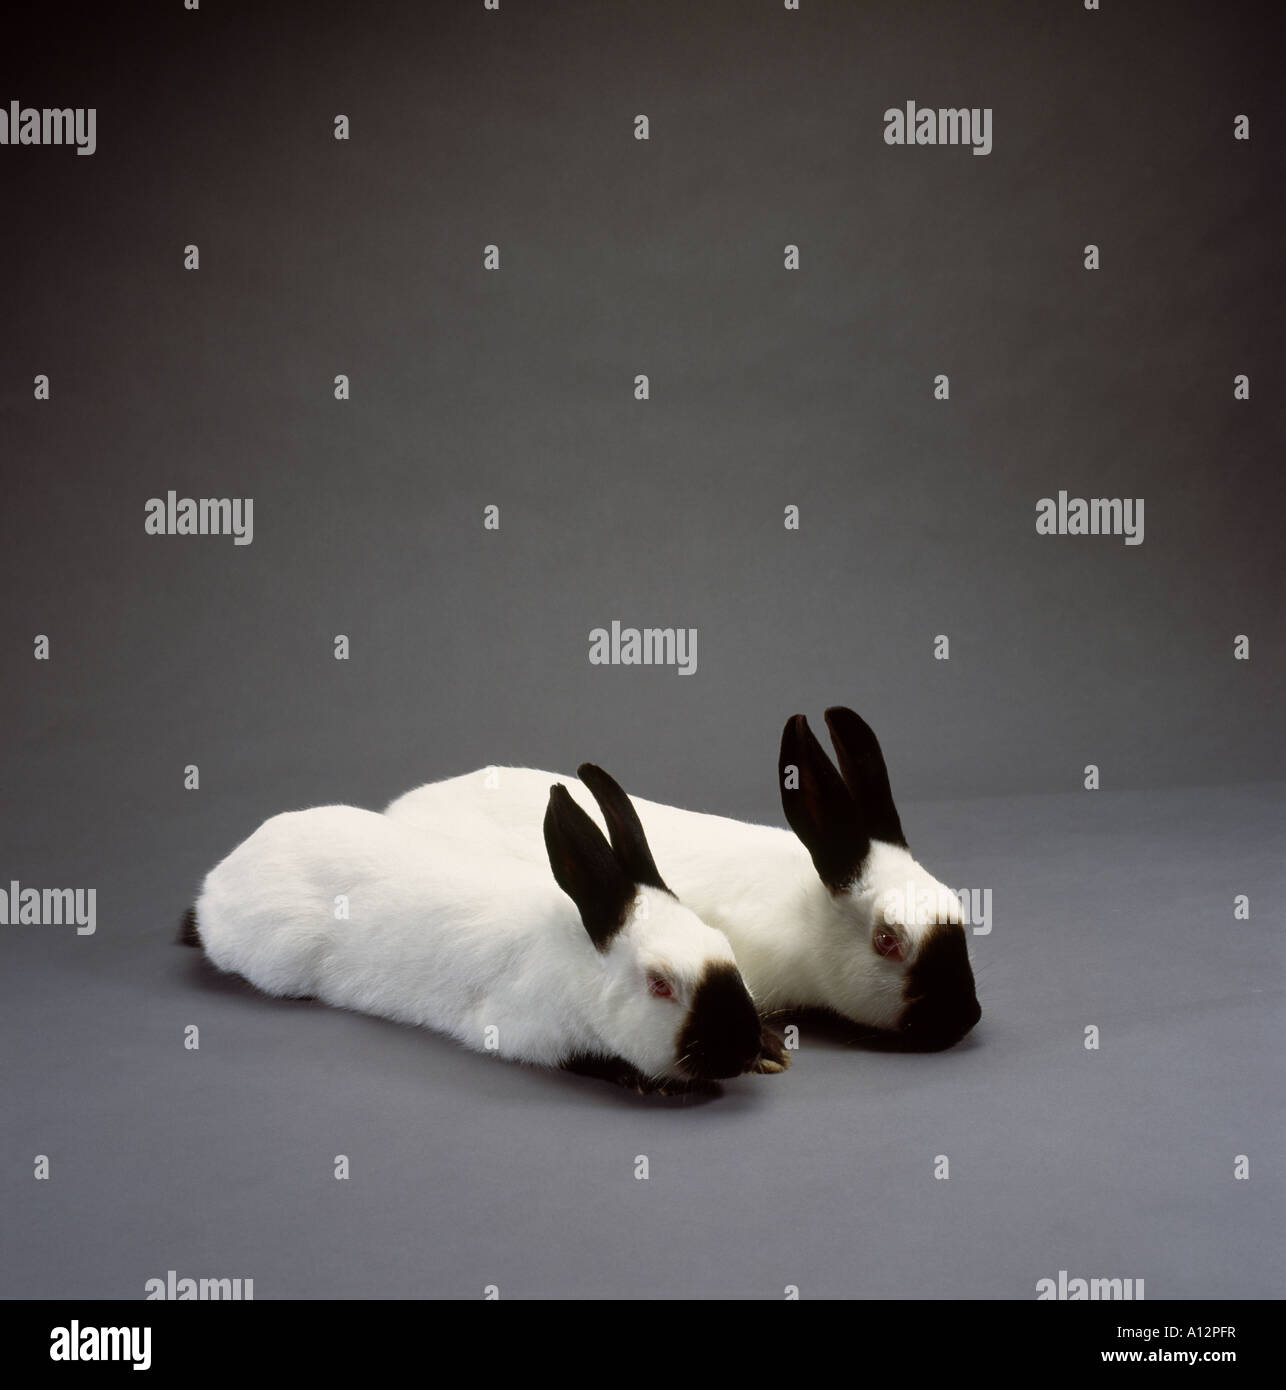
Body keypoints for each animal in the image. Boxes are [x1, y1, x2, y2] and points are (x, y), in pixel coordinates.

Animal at [178, 764, 781, 1094]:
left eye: (724, 945)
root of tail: (217, 881)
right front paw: (643, 1080)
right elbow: (584, 1057)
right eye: (660, 985)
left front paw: (773, 1052)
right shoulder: (522, 1029)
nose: (741, 1045)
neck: (577, 960)